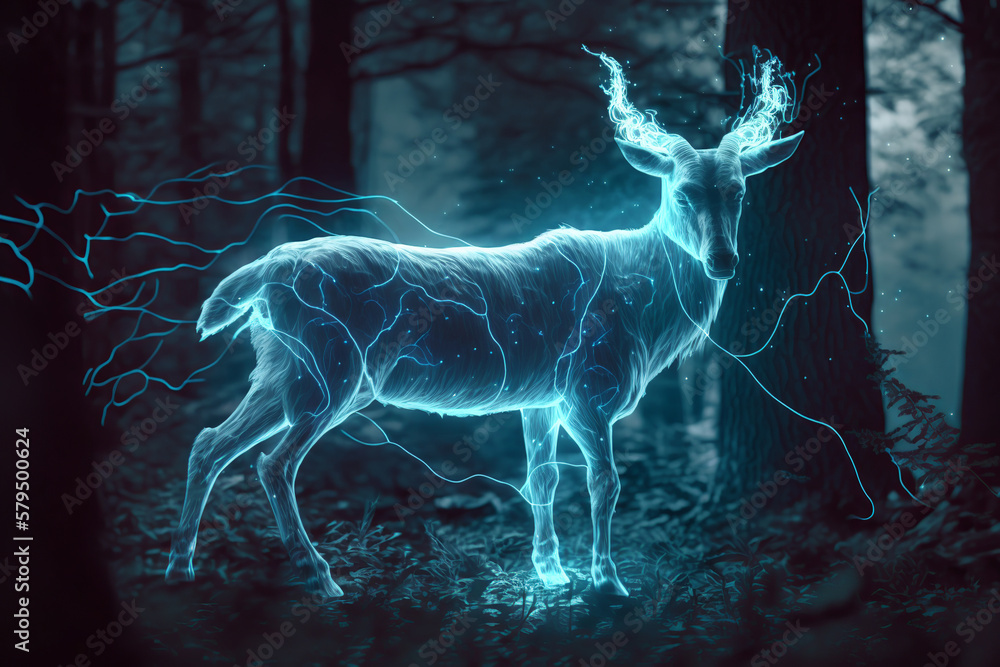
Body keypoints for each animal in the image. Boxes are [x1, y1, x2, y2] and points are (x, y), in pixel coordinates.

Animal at [165, 52, 803, 598]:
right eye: (683, 191)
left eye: (739, 192)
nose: (723, 260)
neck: (650, 320)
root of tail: (264, 272)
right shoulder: (588, 387)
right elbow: (605, 481)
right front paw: (608, 582)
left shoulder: (542, 396)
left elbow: (541, 478)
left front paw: (552, 574)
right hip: (332, 370)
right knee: (272, 462)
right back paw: (321, 578)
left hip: (281, 367)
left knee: (208, 443)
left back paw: (181, 567)